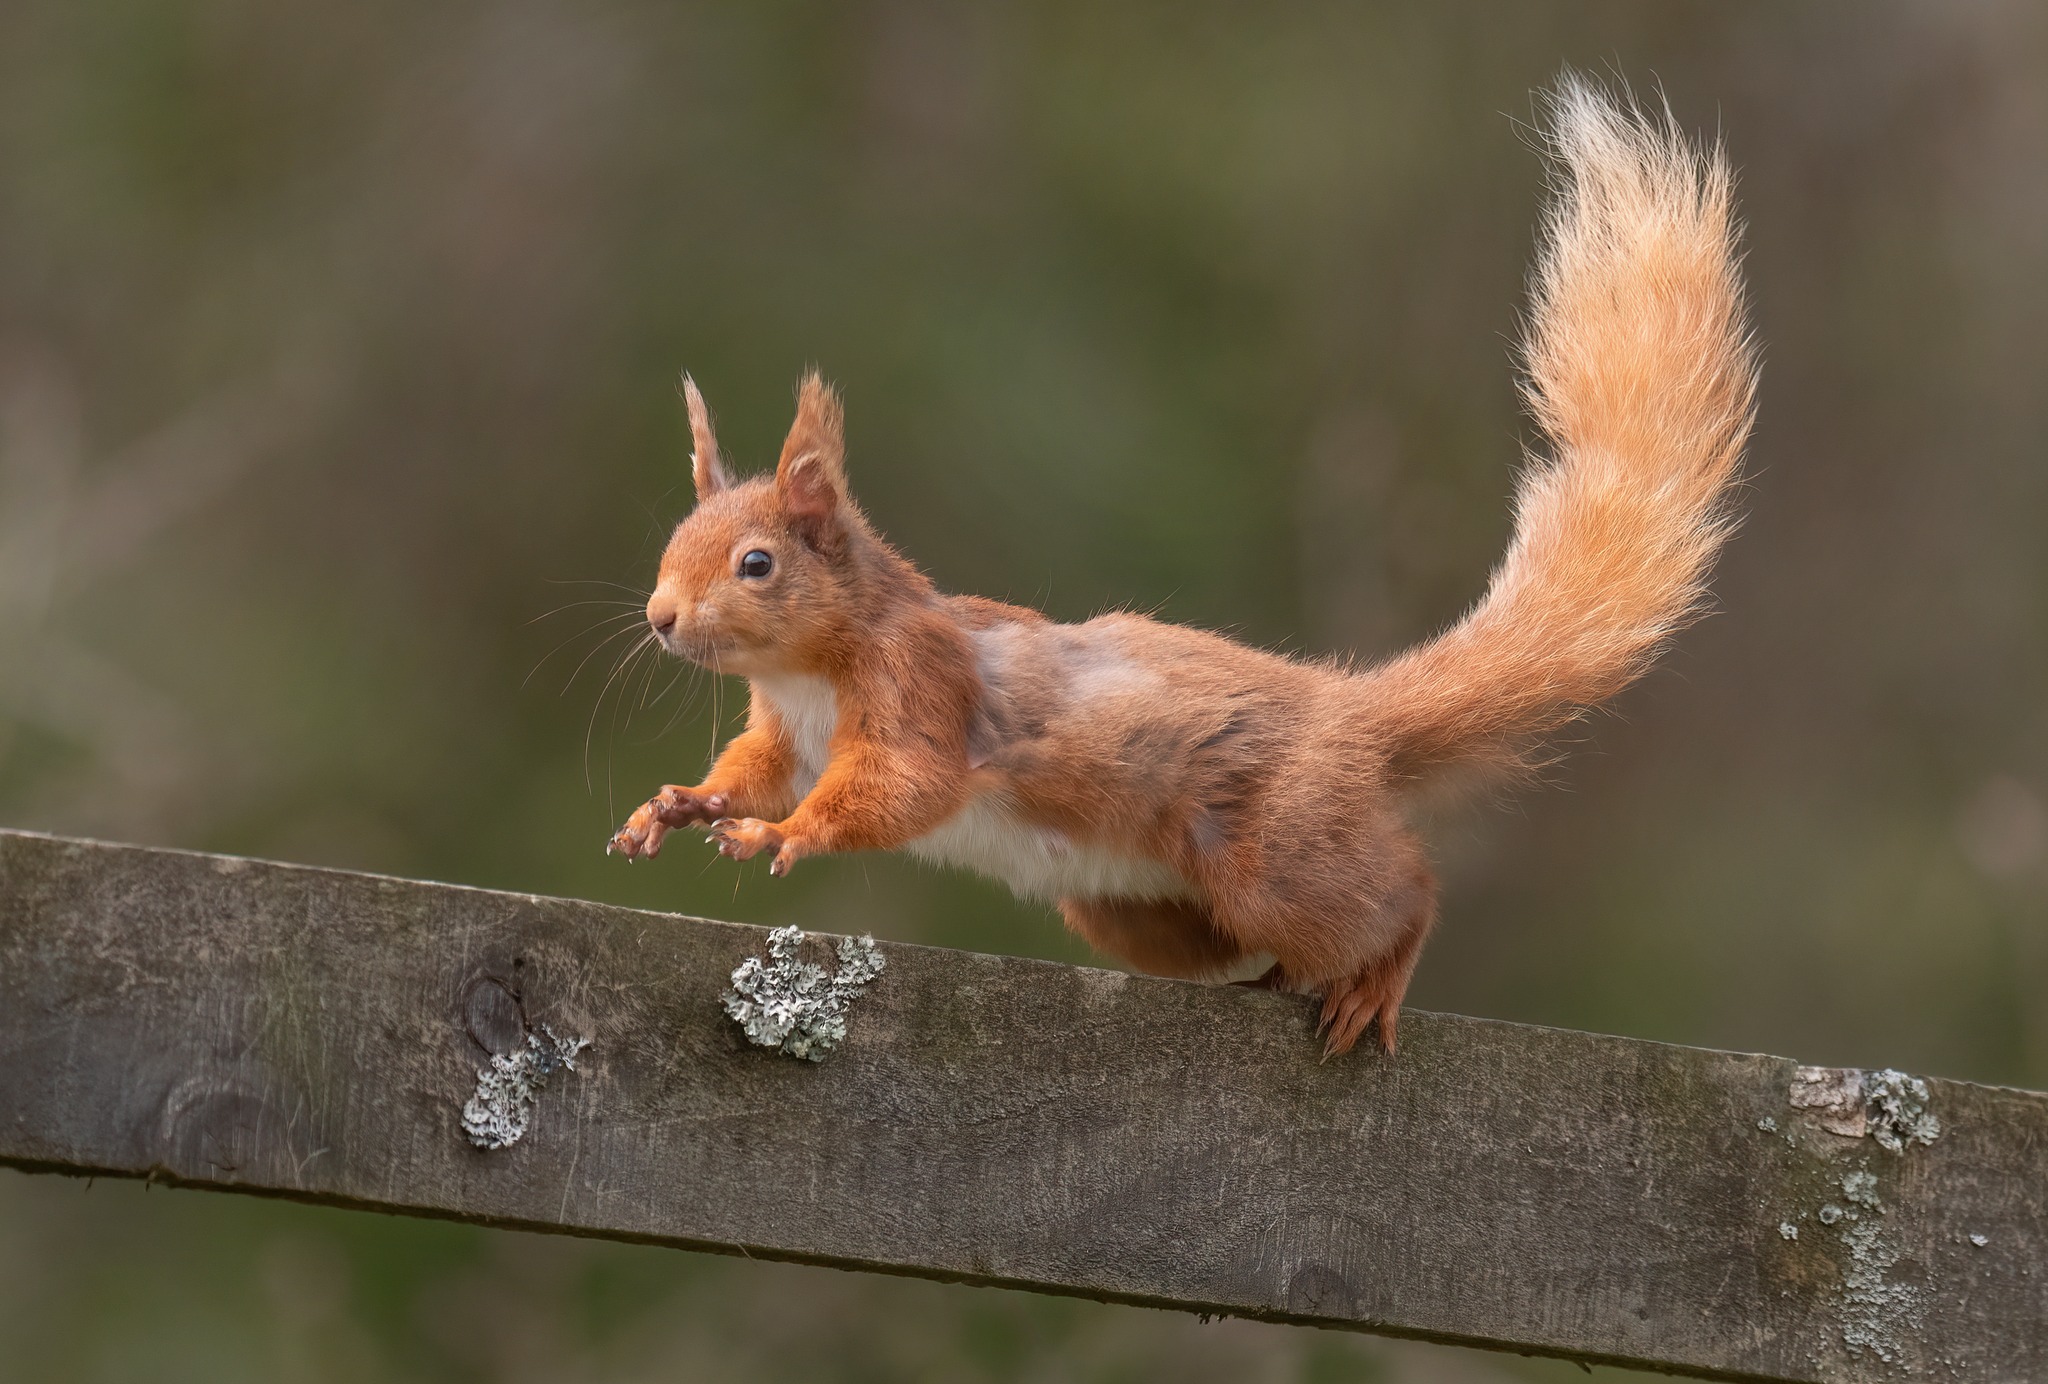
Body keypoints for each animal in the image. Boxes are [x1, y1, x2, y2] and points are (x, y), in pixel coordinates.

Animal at [606, 80, 1757, 1056]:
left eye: (756, 563)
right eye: (669, 546)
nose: (661, 617)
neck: (806, 670)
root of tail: (1350, 716)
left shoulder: (918, 684)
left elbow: (898, 787)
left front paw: (780, 834)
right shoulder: (783, 731)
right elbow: (751, 771)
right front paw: (680, 805)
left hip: (1278, 855)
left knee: (1402, 891)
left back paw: (1375, 976)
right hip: (1139, 910)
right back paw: (1281, 983)